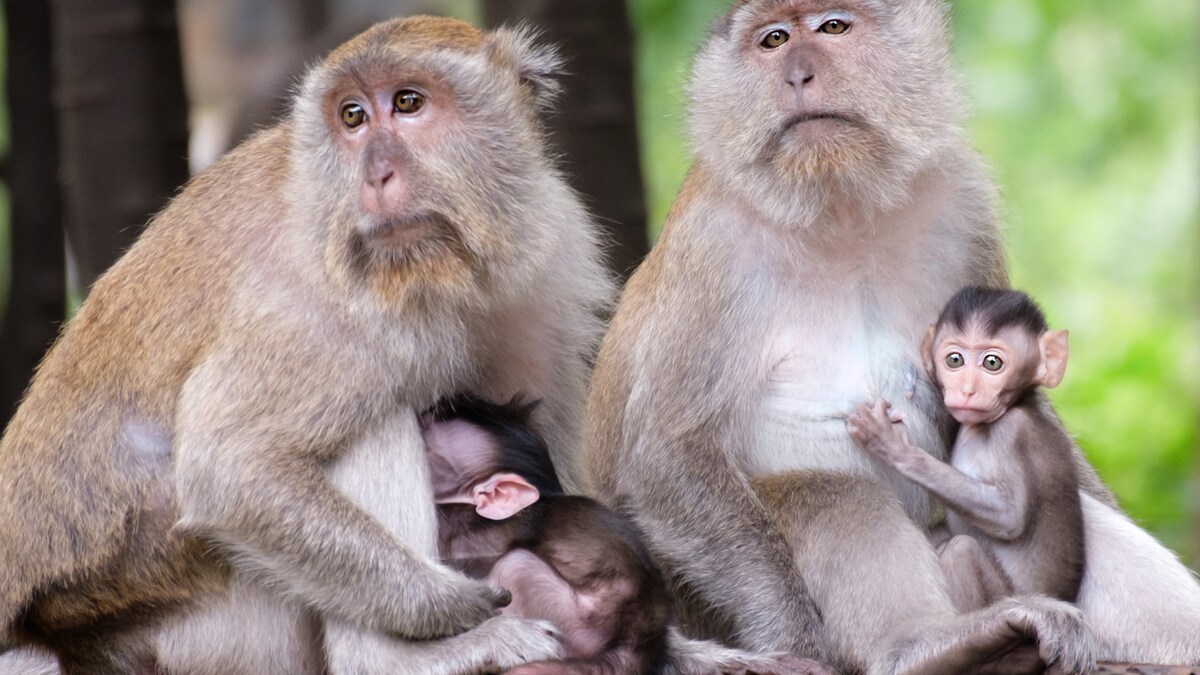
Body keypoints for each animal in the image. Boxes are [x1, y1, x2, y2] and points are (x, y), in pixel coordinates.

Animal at [0, 16, 616, 674]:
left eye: (408, 103)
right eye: (353, 117)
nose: (377, 176)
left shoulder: (548, 250)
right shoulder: (313, 303)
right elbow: (231, 468)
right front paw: (452, 605)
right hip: (205, 636)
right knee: (373, 421)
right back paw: (398, 657)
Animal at [846, 287, 1084, 612]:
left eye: (992, 363)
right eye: (955, 360)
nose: (967, 390)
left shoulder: (1012, 433)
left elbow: (1009, 517)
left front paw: (895, 447)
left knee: (962, 550)